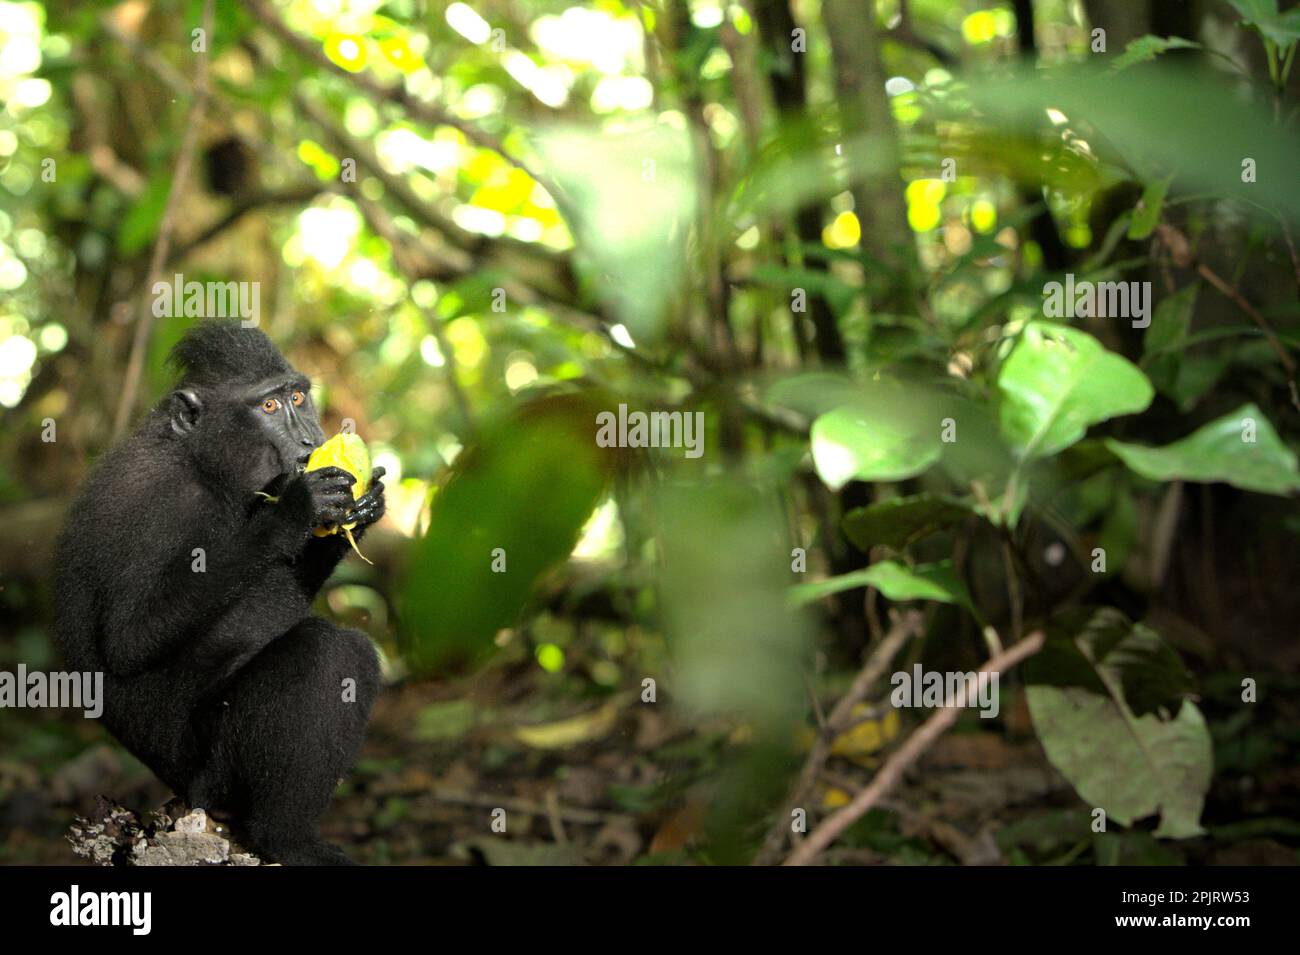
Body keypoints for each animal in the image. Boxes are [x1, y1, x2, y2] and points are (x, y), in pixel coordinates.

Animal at [55, 319, 385, 865]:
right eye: (269, 407)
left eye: (298, 397)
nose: (310, 438)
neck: (201, 465)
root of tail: (181, 791)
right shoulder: (157, 501)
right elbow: (129, 640)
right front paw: (293, 511)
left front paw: (364, 506)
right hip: (210, 775)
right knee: (328, 653)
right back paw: (284, 838)